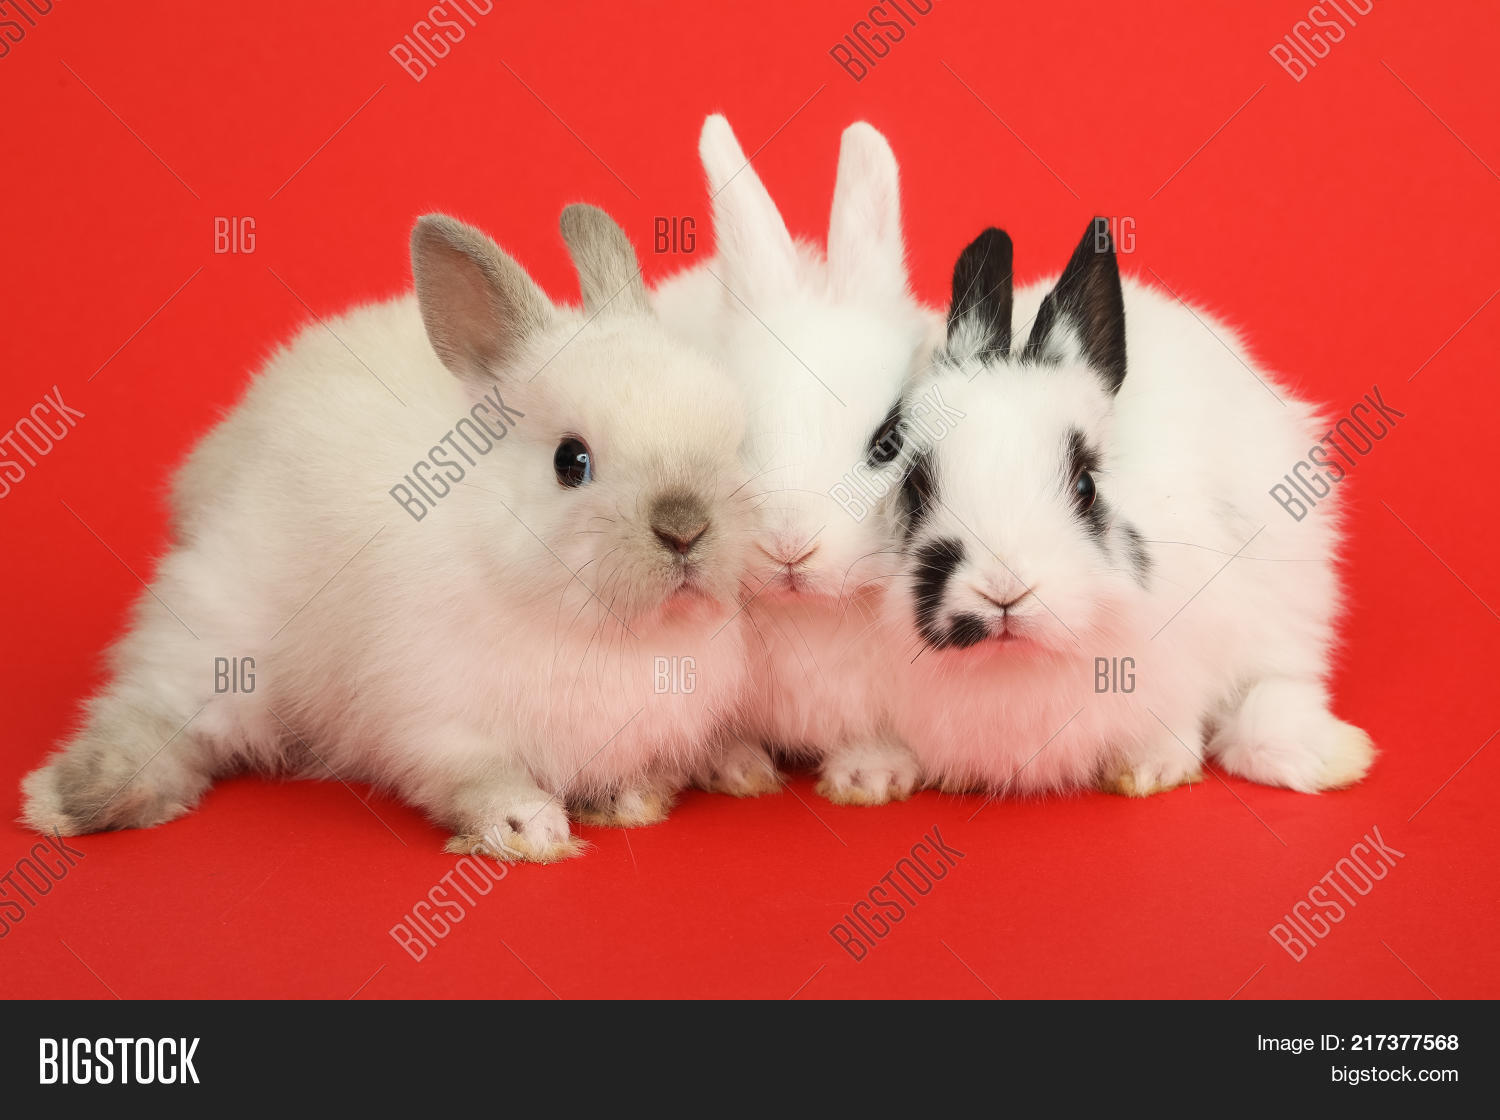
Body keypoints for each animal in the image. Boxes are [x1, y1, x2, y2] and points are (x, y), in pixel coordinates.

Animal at [20, 204, 759, 862]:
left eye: (735, 441)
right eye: (571, 461)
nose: (686, 528)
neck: (610, 632)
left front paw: (632, 803)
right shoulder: (434, 722)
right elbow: (476, 777)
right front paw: (527, 829)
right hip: (218, 624)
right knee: (158, 709)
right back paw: (76, 800)